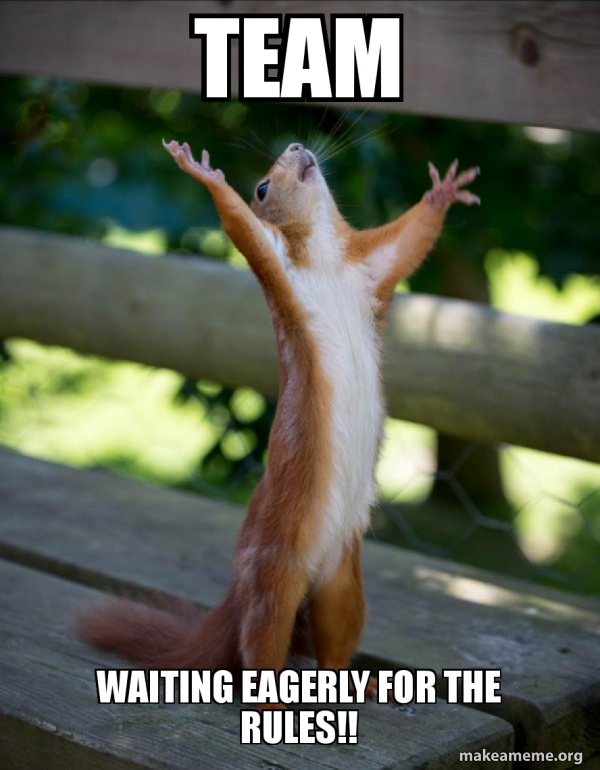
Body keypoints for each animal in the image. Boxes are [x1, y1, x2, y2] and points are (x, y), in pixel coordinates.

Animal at [78, 138, 479, 703]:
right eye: (263, 187)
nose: (296, 146)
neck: (327, 260)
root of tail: (239, 591)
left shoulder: (372, 267)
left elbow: (410, 239)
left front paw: (442, 192)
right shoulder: (277, 265)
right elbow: (240, 226)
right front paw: (203, 173)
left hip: (344, 587)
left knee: (336, 643)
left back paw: (358, 684)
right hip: (273, 579)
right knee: (260, 649)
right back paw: (275, 698)